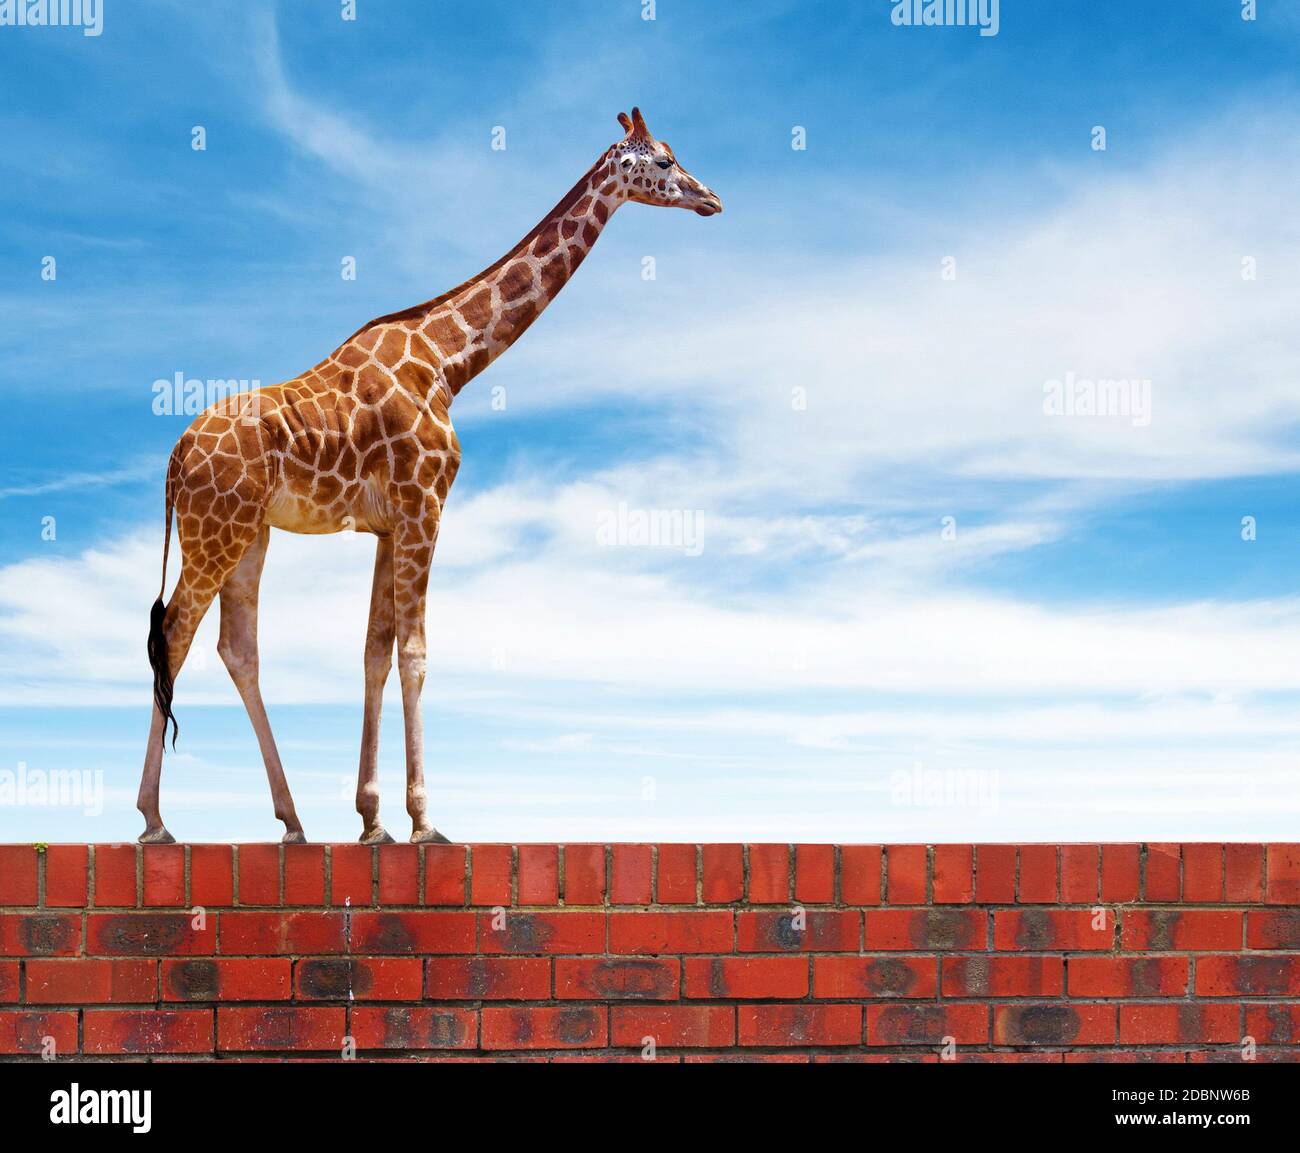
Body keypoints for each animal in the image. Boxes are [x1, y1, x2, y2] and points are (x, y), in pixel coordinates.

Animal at [137, 108, 721, 845]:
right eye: (666, 160)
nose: (712, 198)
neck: (451, 361)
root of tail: (175, 456)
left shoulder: (390, 523)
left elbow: (374, 650)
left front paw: (371, 819)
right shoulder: (425, 503)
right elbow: (414, 651)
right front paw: (423, 820)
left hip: (249, 532)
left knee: (235, 647)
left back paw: (292, 820)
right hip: (214, 529)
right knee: (173, 634)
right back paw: (154, 820)